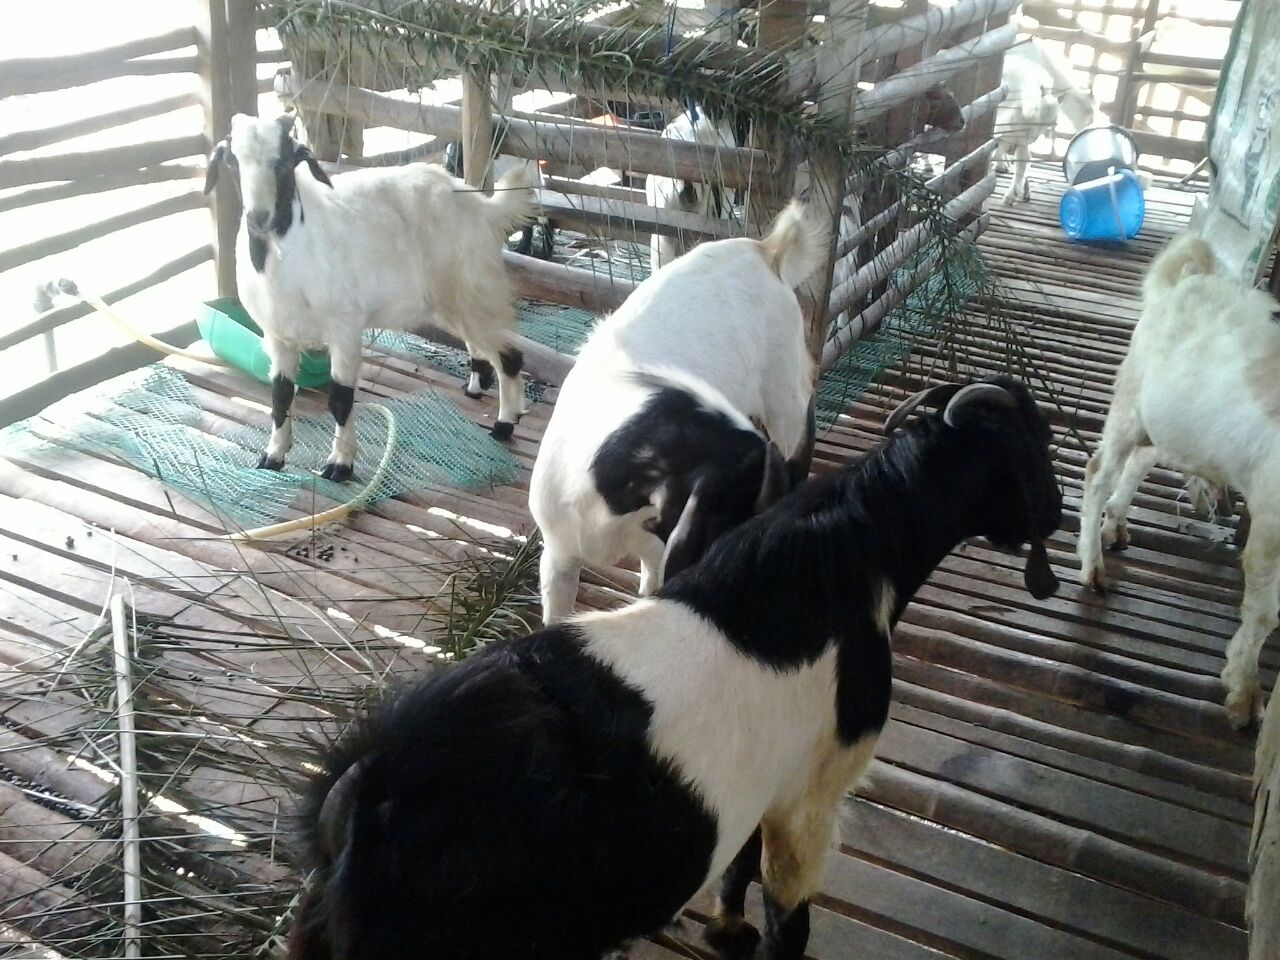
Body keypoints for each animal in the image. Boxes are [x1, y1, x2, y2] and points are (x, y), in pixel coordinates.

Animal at [203, 113, 535, 480]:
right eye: (233, 160)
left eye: (285, 161)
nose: (260, 217)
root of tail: (484, 206)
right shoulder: (277, 335)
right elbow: (280, 395)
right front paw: (273, 455)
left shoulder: (344, 328)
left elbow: (340, 398)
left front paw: (340, 464)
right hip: (454, 299)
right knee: (482, 348)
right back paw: (477, 387)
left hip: (473, 289)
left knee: (509, 356)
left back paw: (505, 424)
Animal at [286, 375, 1063, 960]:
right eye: (1037, 445)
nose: (1056, 514)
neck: (854, 551)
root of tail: (366, 795)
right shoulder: (813, 793)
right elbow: (790, 915)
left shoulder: (763, 780)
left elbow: (742, 862)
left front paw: (727, 926)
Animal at [1078, 232, 1280, 729]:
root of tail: (1177, 286)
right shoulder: (1271, 518)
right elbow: (1265, 611)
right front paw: (1243, 694)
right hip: (1130, 402)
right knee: (1099, 473)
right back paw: (1092, 568)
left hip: (1173, 425)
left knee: (1138, 463)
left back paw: (1116, 524)